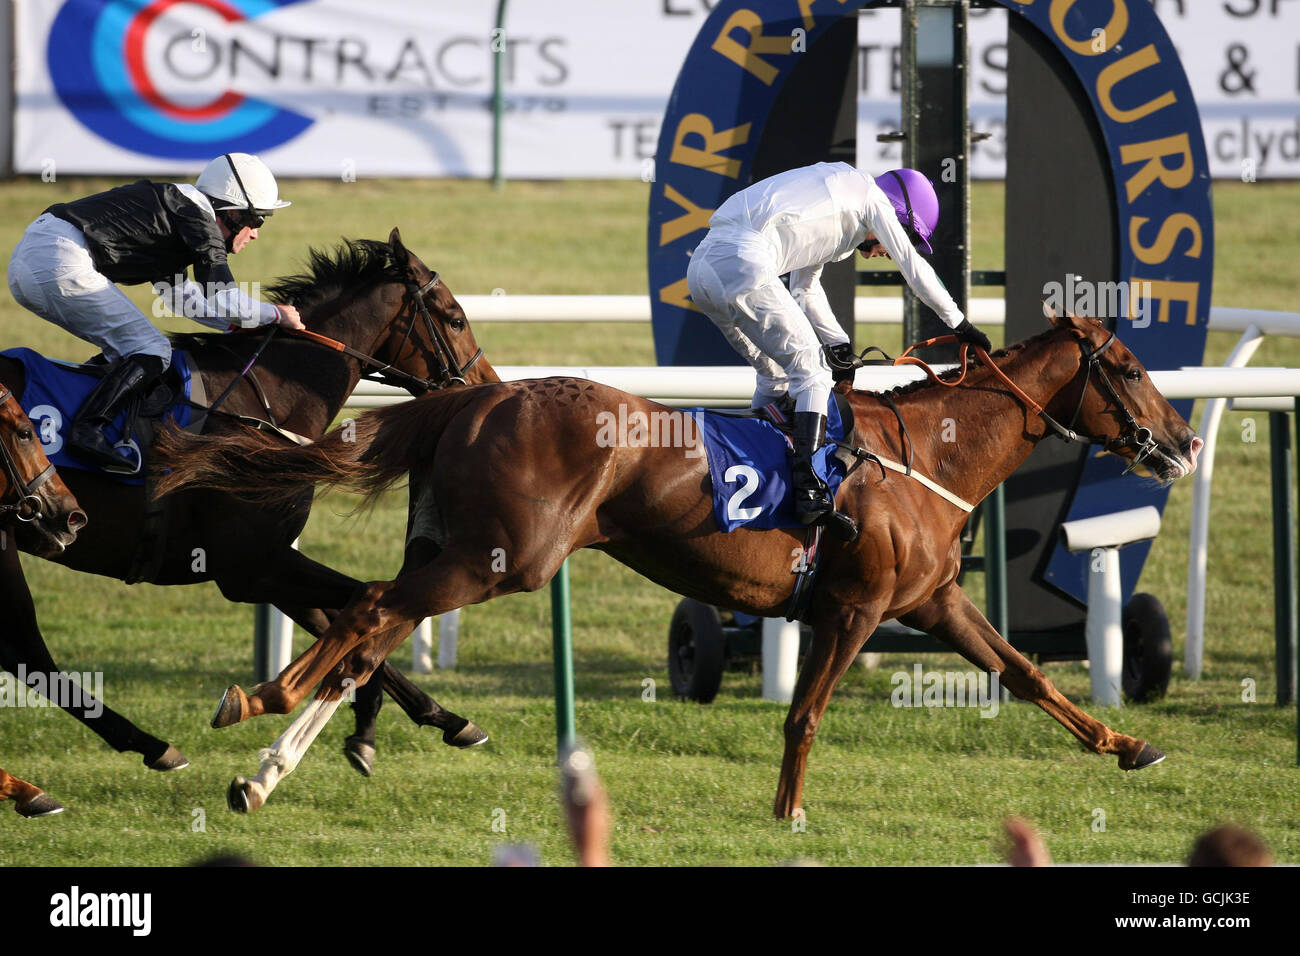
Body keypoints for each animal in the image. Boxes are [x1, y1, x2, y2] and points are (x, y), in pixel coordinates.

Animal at [0, 229, 495, 785]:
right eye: (455, 319)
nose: (488, 385)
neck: (261, 409)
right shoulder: (250, 567)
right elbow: (363, 602)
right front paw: (366, 727)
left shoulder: (269, 561)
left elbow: (343, 617)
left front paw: (446, 720)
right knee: (28, 651)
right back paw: (151, 746)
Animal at [153, 307, 1203, 817]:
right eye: (1129, 368)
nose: (1186, 442)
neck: (926, 458)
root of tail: (476, 398)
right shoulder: (855, 610)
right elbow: (805, 714)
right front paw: (787, 814)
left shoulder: (934, 601)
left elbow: (1026, 674)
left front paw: (1129, 745)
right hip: (502, 558)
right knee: (370, 611)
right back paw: (256, 701)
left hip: (453, 548)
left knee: (370, 626)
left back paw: (263, 772)